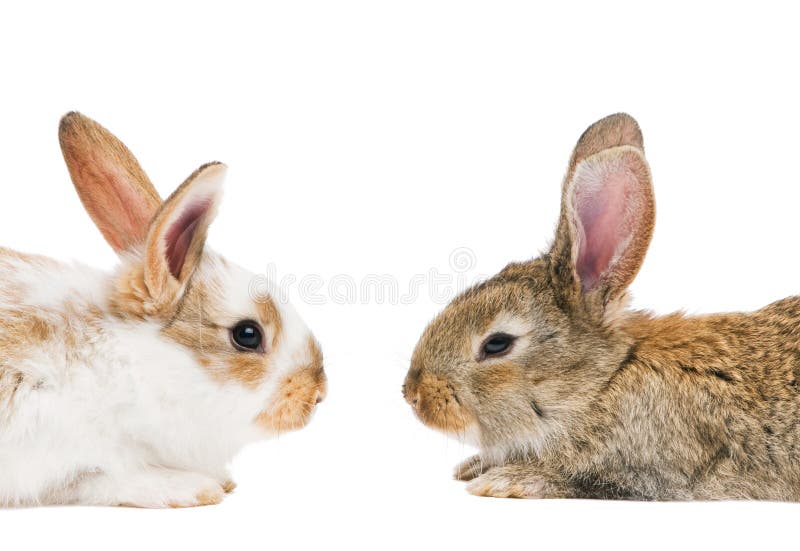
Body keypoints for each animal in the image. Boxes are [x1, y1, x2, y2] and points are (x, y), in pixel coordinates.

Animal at [403, 113, 800, 501]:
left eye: (497, 344)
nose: (412, 394)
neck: (603, 383)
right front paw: (473, 466)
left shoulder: (654, 470)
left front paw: (507, 480)